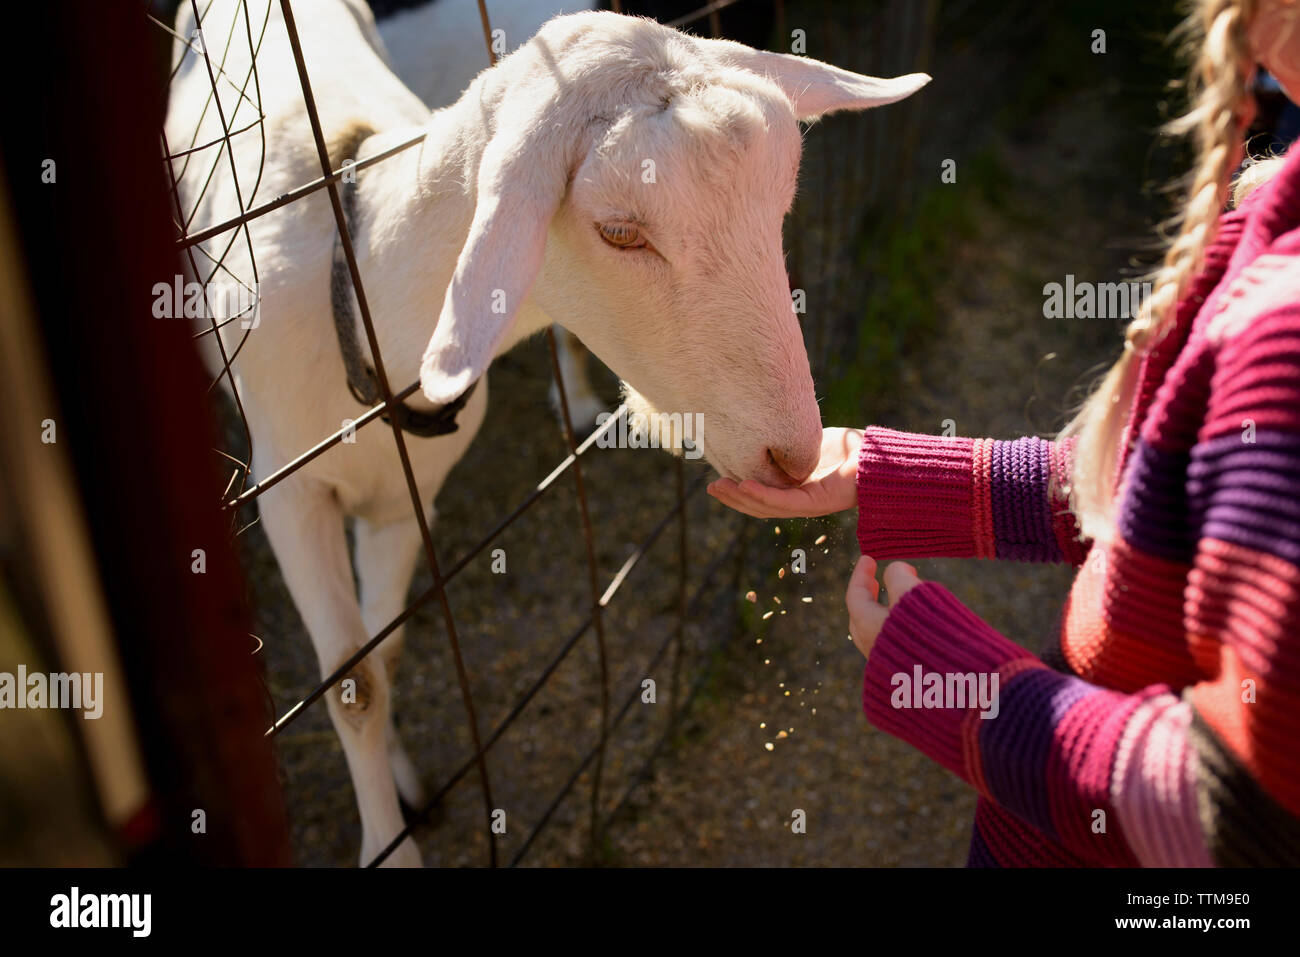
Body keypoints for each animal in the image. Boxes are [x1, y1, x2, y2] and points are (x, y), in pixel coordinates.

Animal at [167, 0, 928, 865]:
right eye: (621, 232)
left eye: (781, 203)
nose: (793, 455)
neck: (357, 296)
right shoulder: (292, 491)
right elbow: (356, 685)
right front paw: (389, 841)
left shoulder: (407, 494)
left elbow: (382, 650)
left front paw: (402, 782)